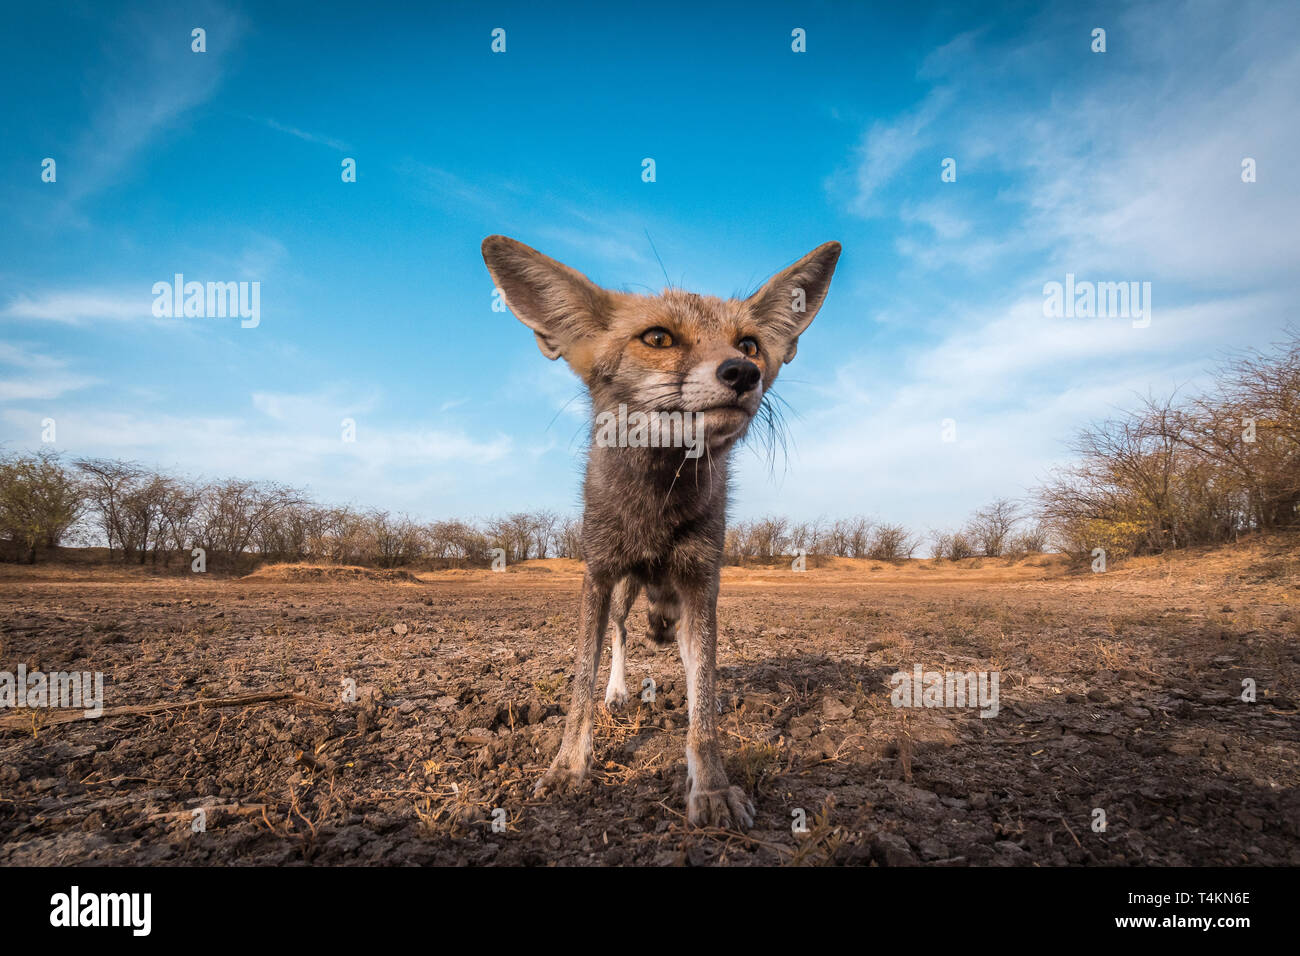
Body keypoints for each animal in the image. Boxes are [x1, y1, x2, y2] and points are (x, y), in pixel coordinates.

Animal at [481, 235, 841, 828]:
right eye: (657, 338)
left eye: (749, 344)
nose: (742, 373)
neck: (657, 505)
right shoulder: (599, 574)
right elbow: (579, 685)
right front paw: (568, 767)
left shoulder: (701, 581)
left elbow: (705, 701)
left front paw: (712, 787)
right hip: (624, 588)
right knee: (622, 633)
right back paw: (620, 689)